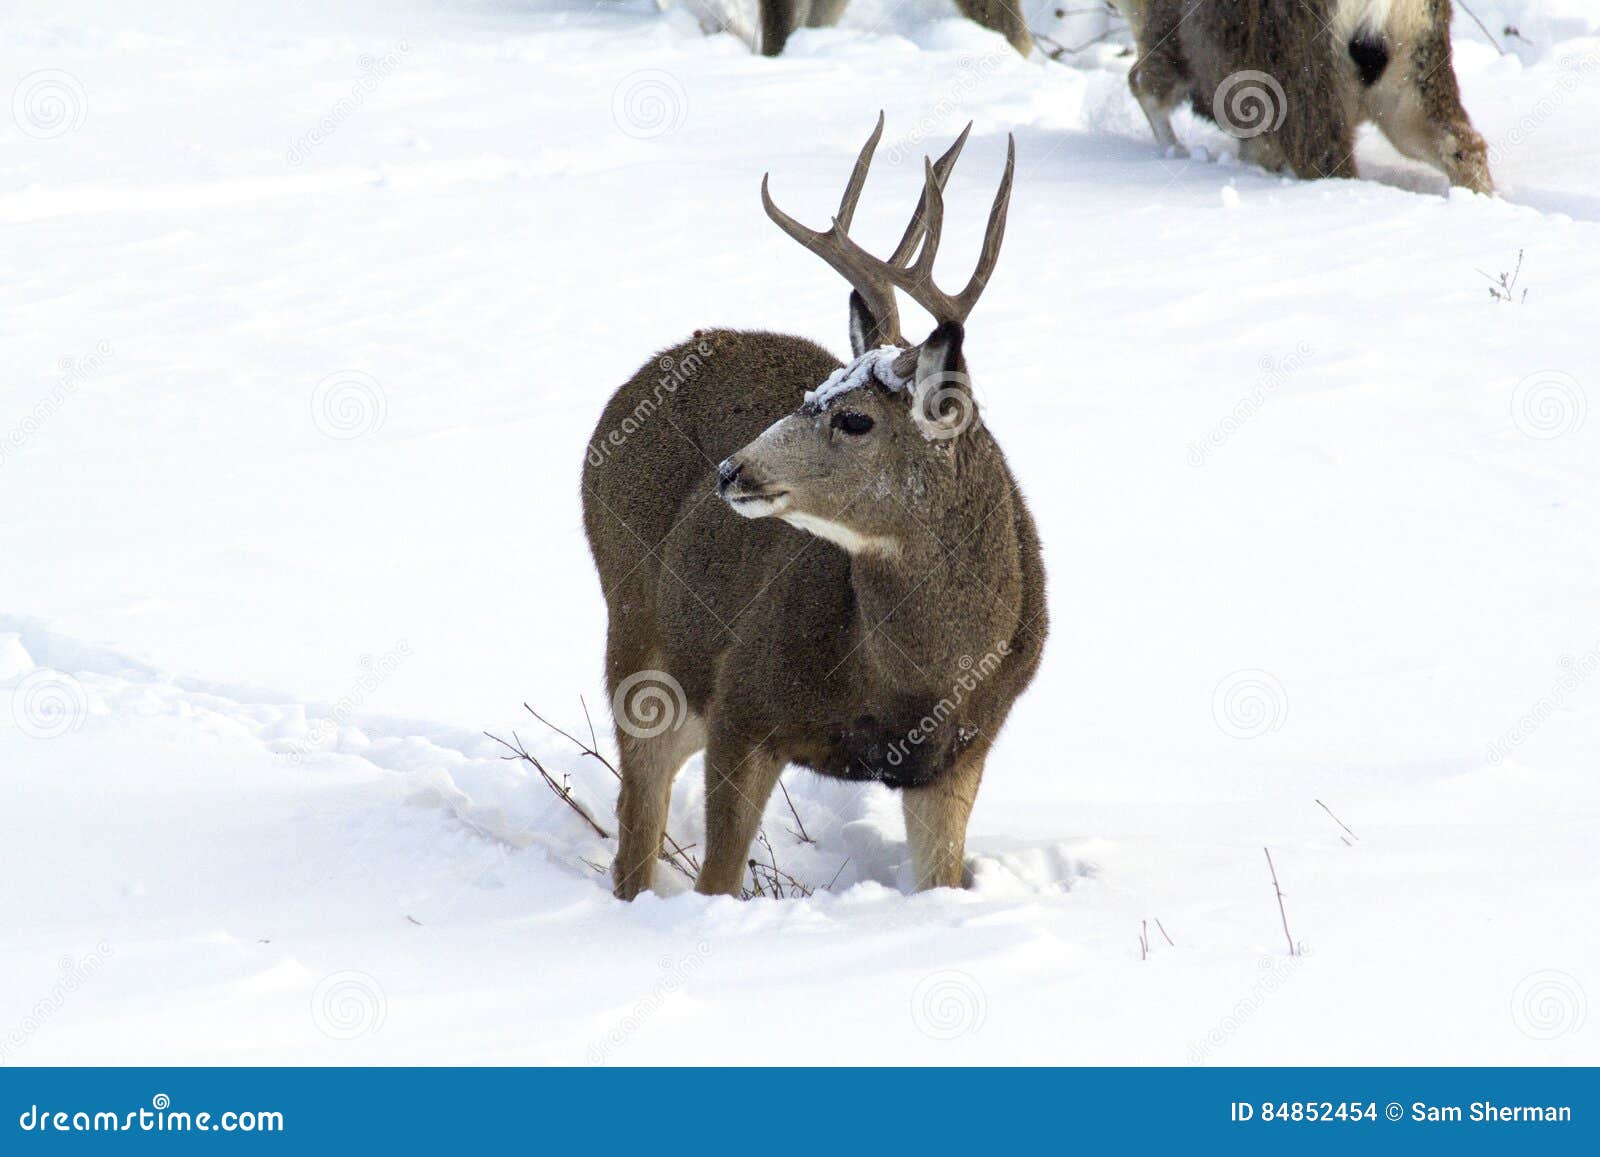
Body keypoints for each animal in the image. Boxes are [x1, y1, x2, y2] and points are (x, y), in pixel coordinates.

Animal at [582, 115, 1047, 901]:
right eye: (810, 395)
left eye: (854, 418)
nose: (732, 470)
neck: (912, 678)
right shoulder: (742, 701)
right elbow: (718, 881)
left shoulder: (959, 754)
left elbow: (944, 880)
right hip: (640, 639)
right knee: (634, 838)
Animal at [1114, 0, 1493, 193]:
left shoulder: (1172, 39)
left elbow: (1144, 87)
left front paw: (1175, 152)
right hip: (1414, 69)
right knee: (1462, 142)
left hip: (1301, 66)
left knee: (1326, 157)